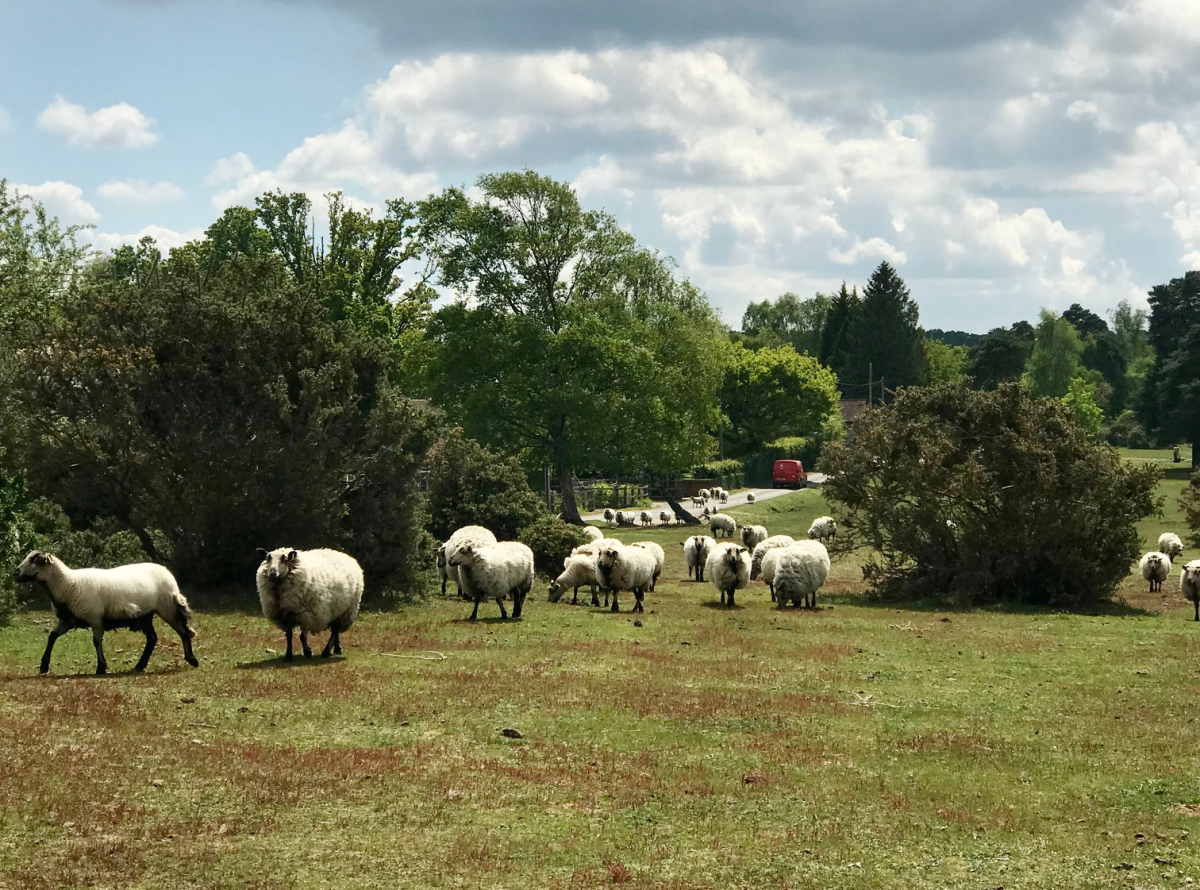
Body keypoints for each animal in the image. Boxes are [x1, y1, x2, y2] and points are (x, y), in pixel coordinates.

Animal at [15, 551, 199, 676]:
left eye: (36, 560)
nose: (15, 573)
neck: (68, 584)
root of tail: (167, 572)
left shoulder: (95, 618)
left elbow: (97, 642)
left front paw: (101, 667)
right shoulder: (67, 620)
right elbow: (52, 637)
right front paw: (44, 666)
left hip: (167, 607)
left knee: (183, 631)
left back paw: (192, 659)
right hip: (145, 615)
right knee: (152, 638)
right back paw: (139, 666)